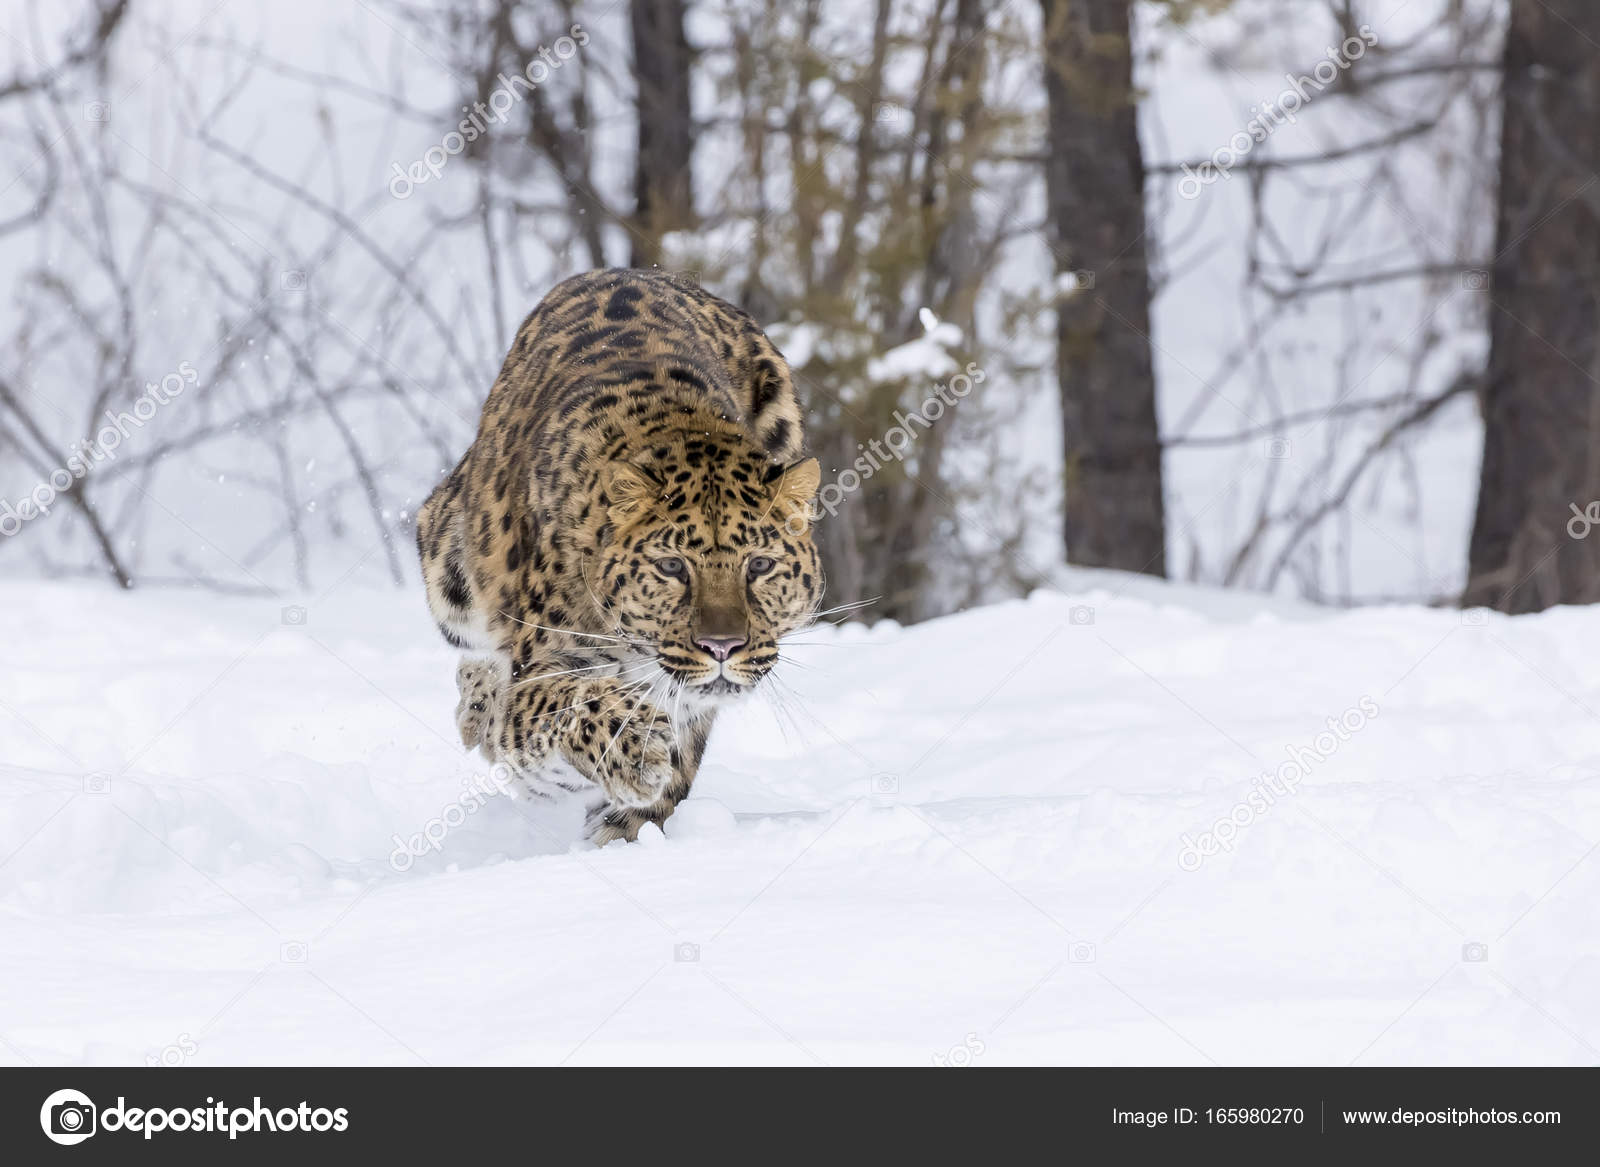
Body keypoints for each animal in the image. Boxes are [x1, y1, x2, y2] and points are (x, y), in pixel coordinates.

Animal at [415, 268, 823, 845]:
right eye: (673, 567)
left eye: (760, 566)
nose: (723, 647)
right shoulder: (534, 678)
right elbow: (572, 698)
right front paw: (635, 747)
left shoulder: (692, 698)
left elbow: (679, 755)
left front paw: (629, 822)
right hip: (446, 553)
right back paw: (478, 716)